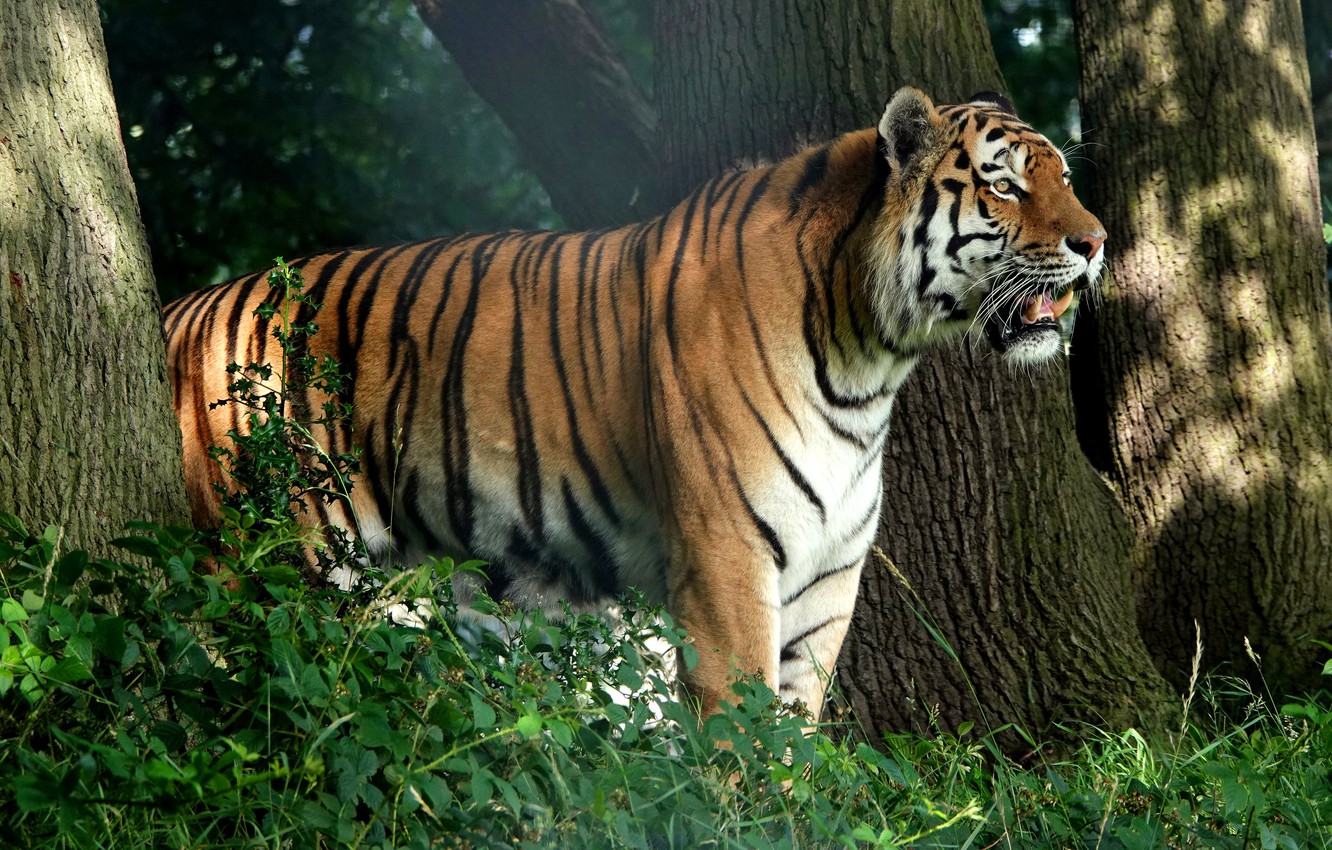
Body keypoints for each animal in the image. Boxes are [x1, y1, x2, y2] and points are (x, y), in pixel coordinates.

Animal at [163, 87, 1106, 722]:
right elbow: (742, 737)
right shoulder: (728, 562)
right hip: (267, 566)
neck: (870, 361)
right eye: (1005, 187)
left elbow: (798, 741)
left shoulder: (828, 585)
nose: (1096, 243)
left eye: (1064, 176)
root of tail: (184, 310)